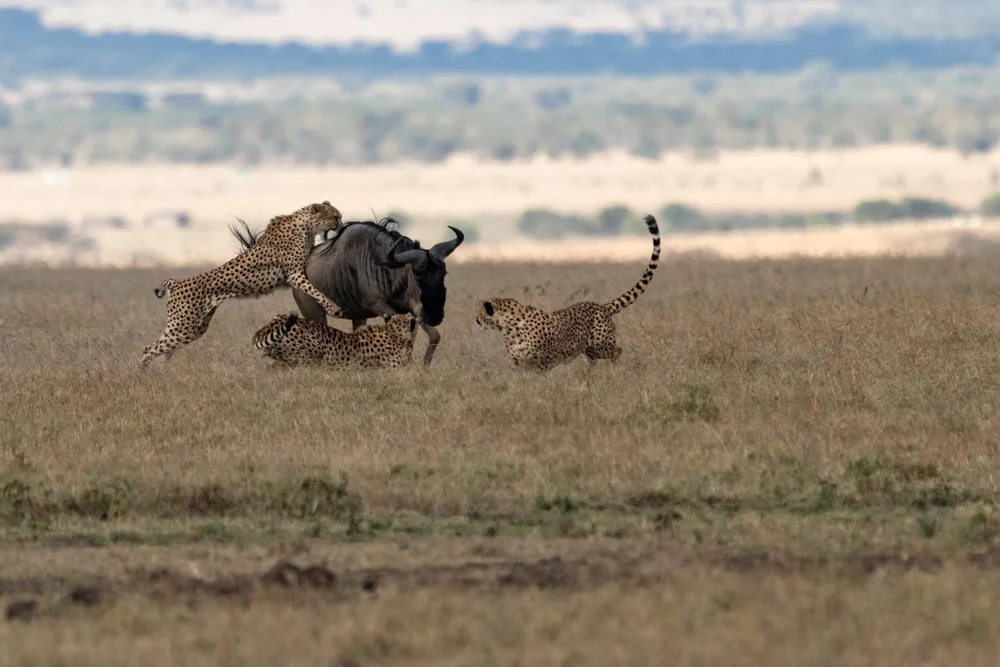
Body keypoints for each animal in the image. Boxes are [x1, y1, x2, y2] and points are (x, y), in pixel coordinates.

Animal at [140, 200, 344, 366]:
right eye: (335, 217)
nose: (342, 226)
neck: (305, 226)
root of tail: (176, 283)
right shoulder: (294, 275)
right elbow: (315, 291)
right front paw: (334, 308)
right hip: (182, 327)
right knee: (148, 350)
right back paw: (144, 375)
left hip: (194, 329)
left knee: (163, 349)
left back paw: (166, 370)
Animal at [476, 213, 660, 372]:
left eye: (480, 313)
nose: (477, 321)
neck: (508, 326)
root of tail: (600, 306)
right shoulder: (522, 365)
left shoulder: (544, 362)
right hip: (590, 348)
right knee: (594, 360)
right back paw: (591, 376)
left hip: (601, 344)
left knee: (617, 351)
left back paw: (615, 371)